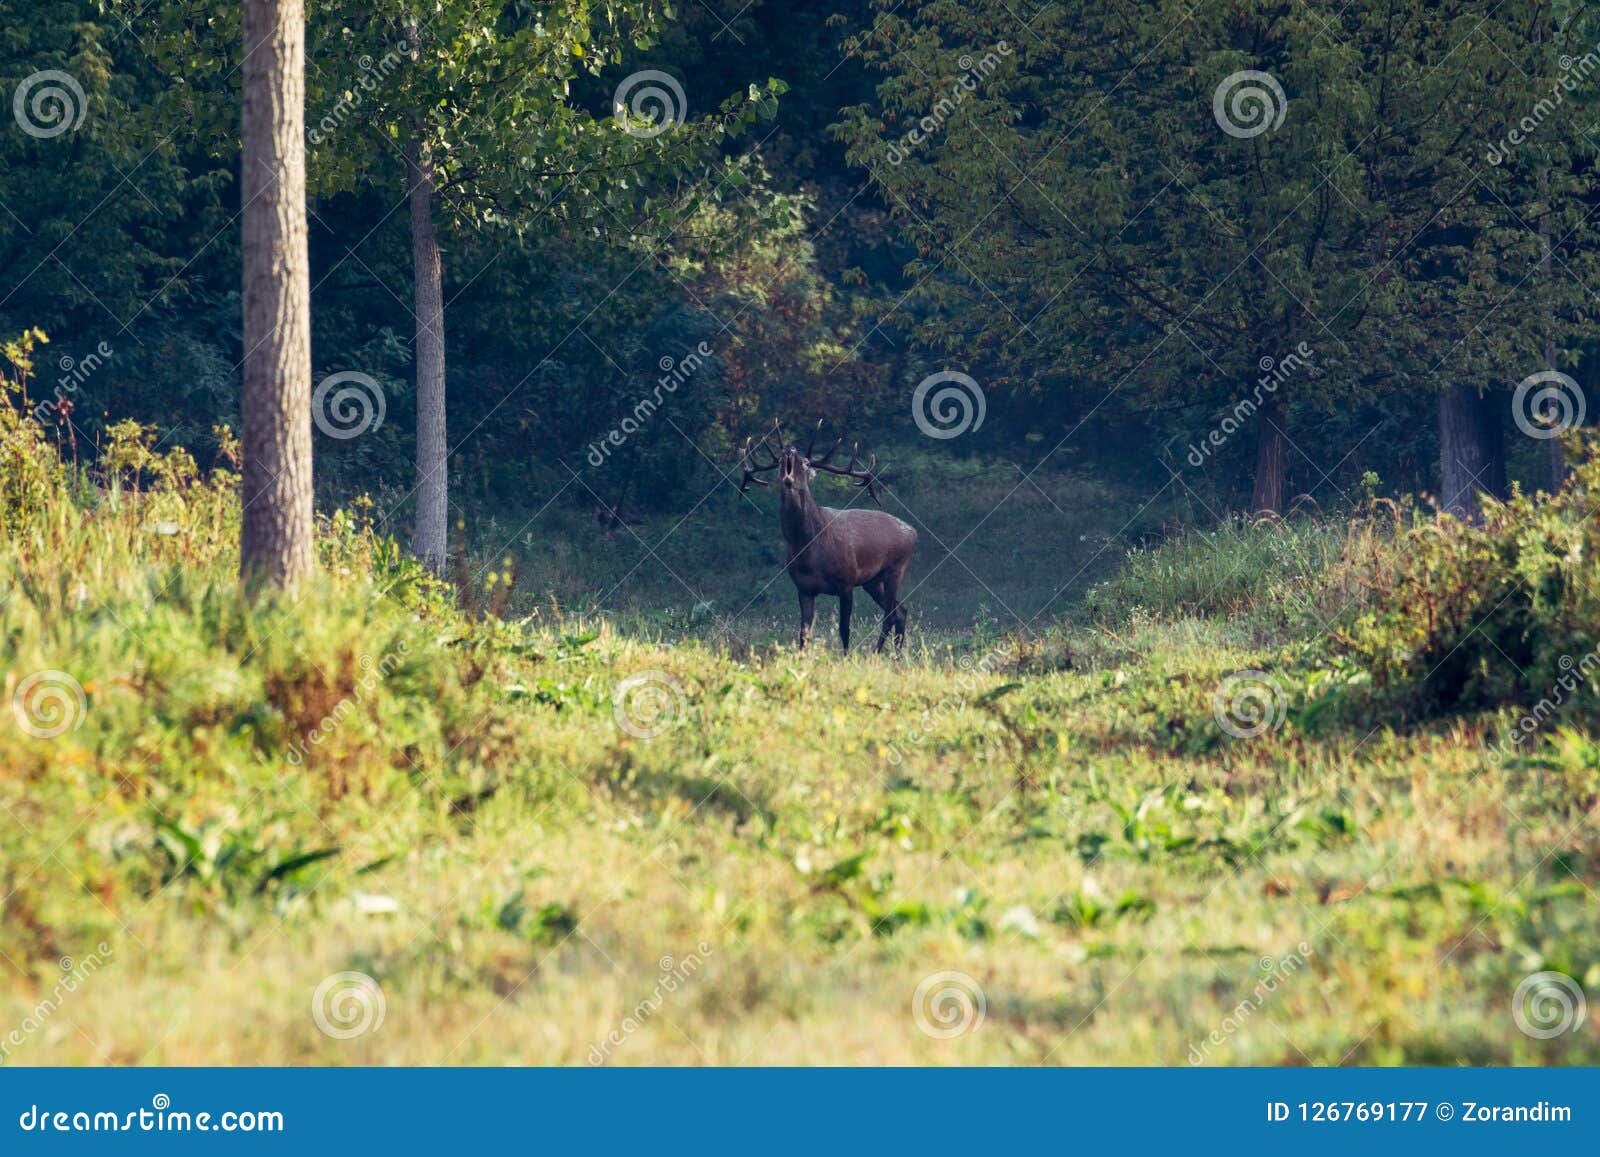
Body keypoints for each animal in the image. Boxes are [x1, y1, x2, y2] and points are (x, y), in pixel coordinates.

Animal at [740, 421, 917, 653]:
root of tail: (913, 531)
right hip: (872, 581)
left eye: (806, 462)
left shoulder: (846, 582)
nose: (789, 448)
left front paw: (846, 657)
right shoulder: (804, 588)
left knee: (889, 615)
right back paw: (895, 656)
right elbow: (803, 633)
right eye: (778, 462)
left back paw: (877, 654)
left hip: (896, 567)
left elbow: (844, 629)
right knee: (901, 611)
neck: (808, 549)